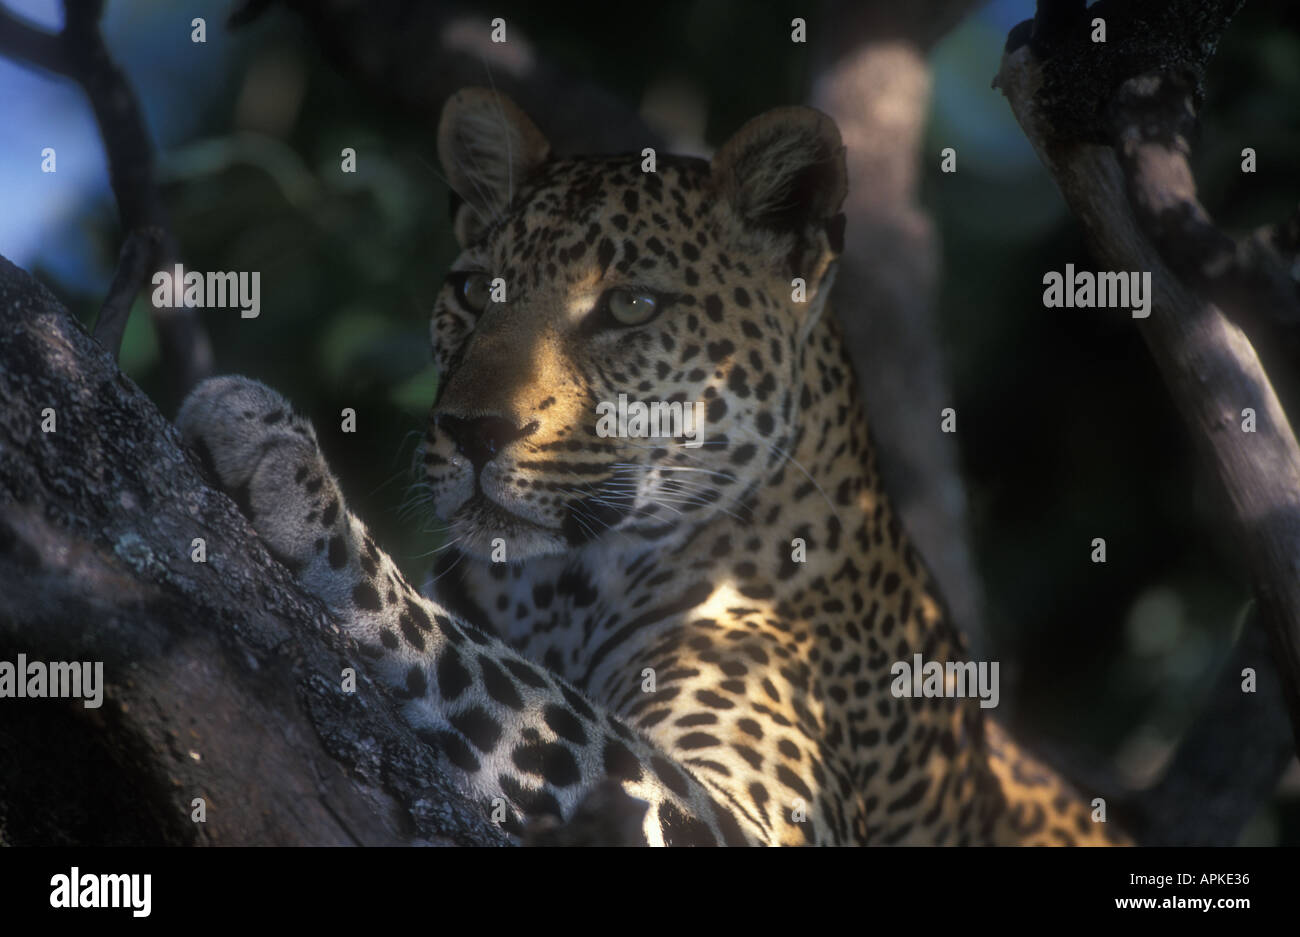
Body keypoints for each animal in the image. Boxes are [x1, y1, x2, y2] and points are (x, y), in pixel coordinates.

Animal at [176, 87, 1127, 846]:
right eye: (474, 291)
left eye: (631, 306)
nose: (474, 429)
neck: (555, 588)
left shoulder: (741, 813)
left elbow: (496, 671)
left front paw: (297, 480)